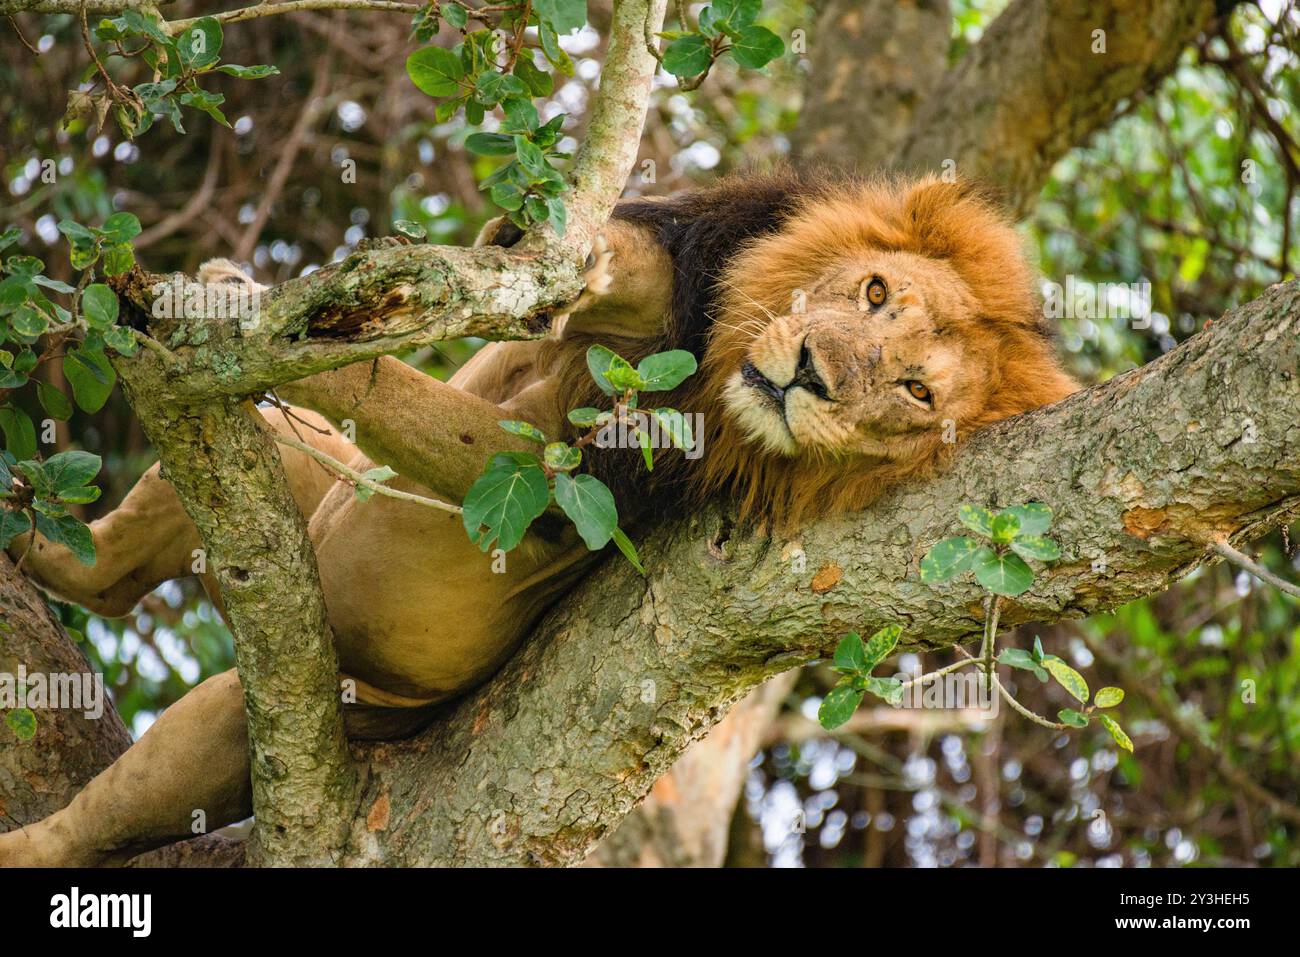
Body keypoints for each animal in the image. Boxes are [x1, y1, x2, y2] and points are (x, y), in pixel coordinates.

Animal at [0, 172, 1078, 865]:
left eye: (915, 393)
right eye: (874, 289)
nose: (810, 372)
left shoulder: (590, 491)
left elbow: (443, 420)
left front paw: (253, 312)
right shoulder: (703, 248)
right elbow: (619, 266)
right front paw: (536, 256)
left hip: (274, 714)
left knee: (111, 780)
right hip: (300, 476)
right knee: (123, 568)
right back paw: (40, 547)